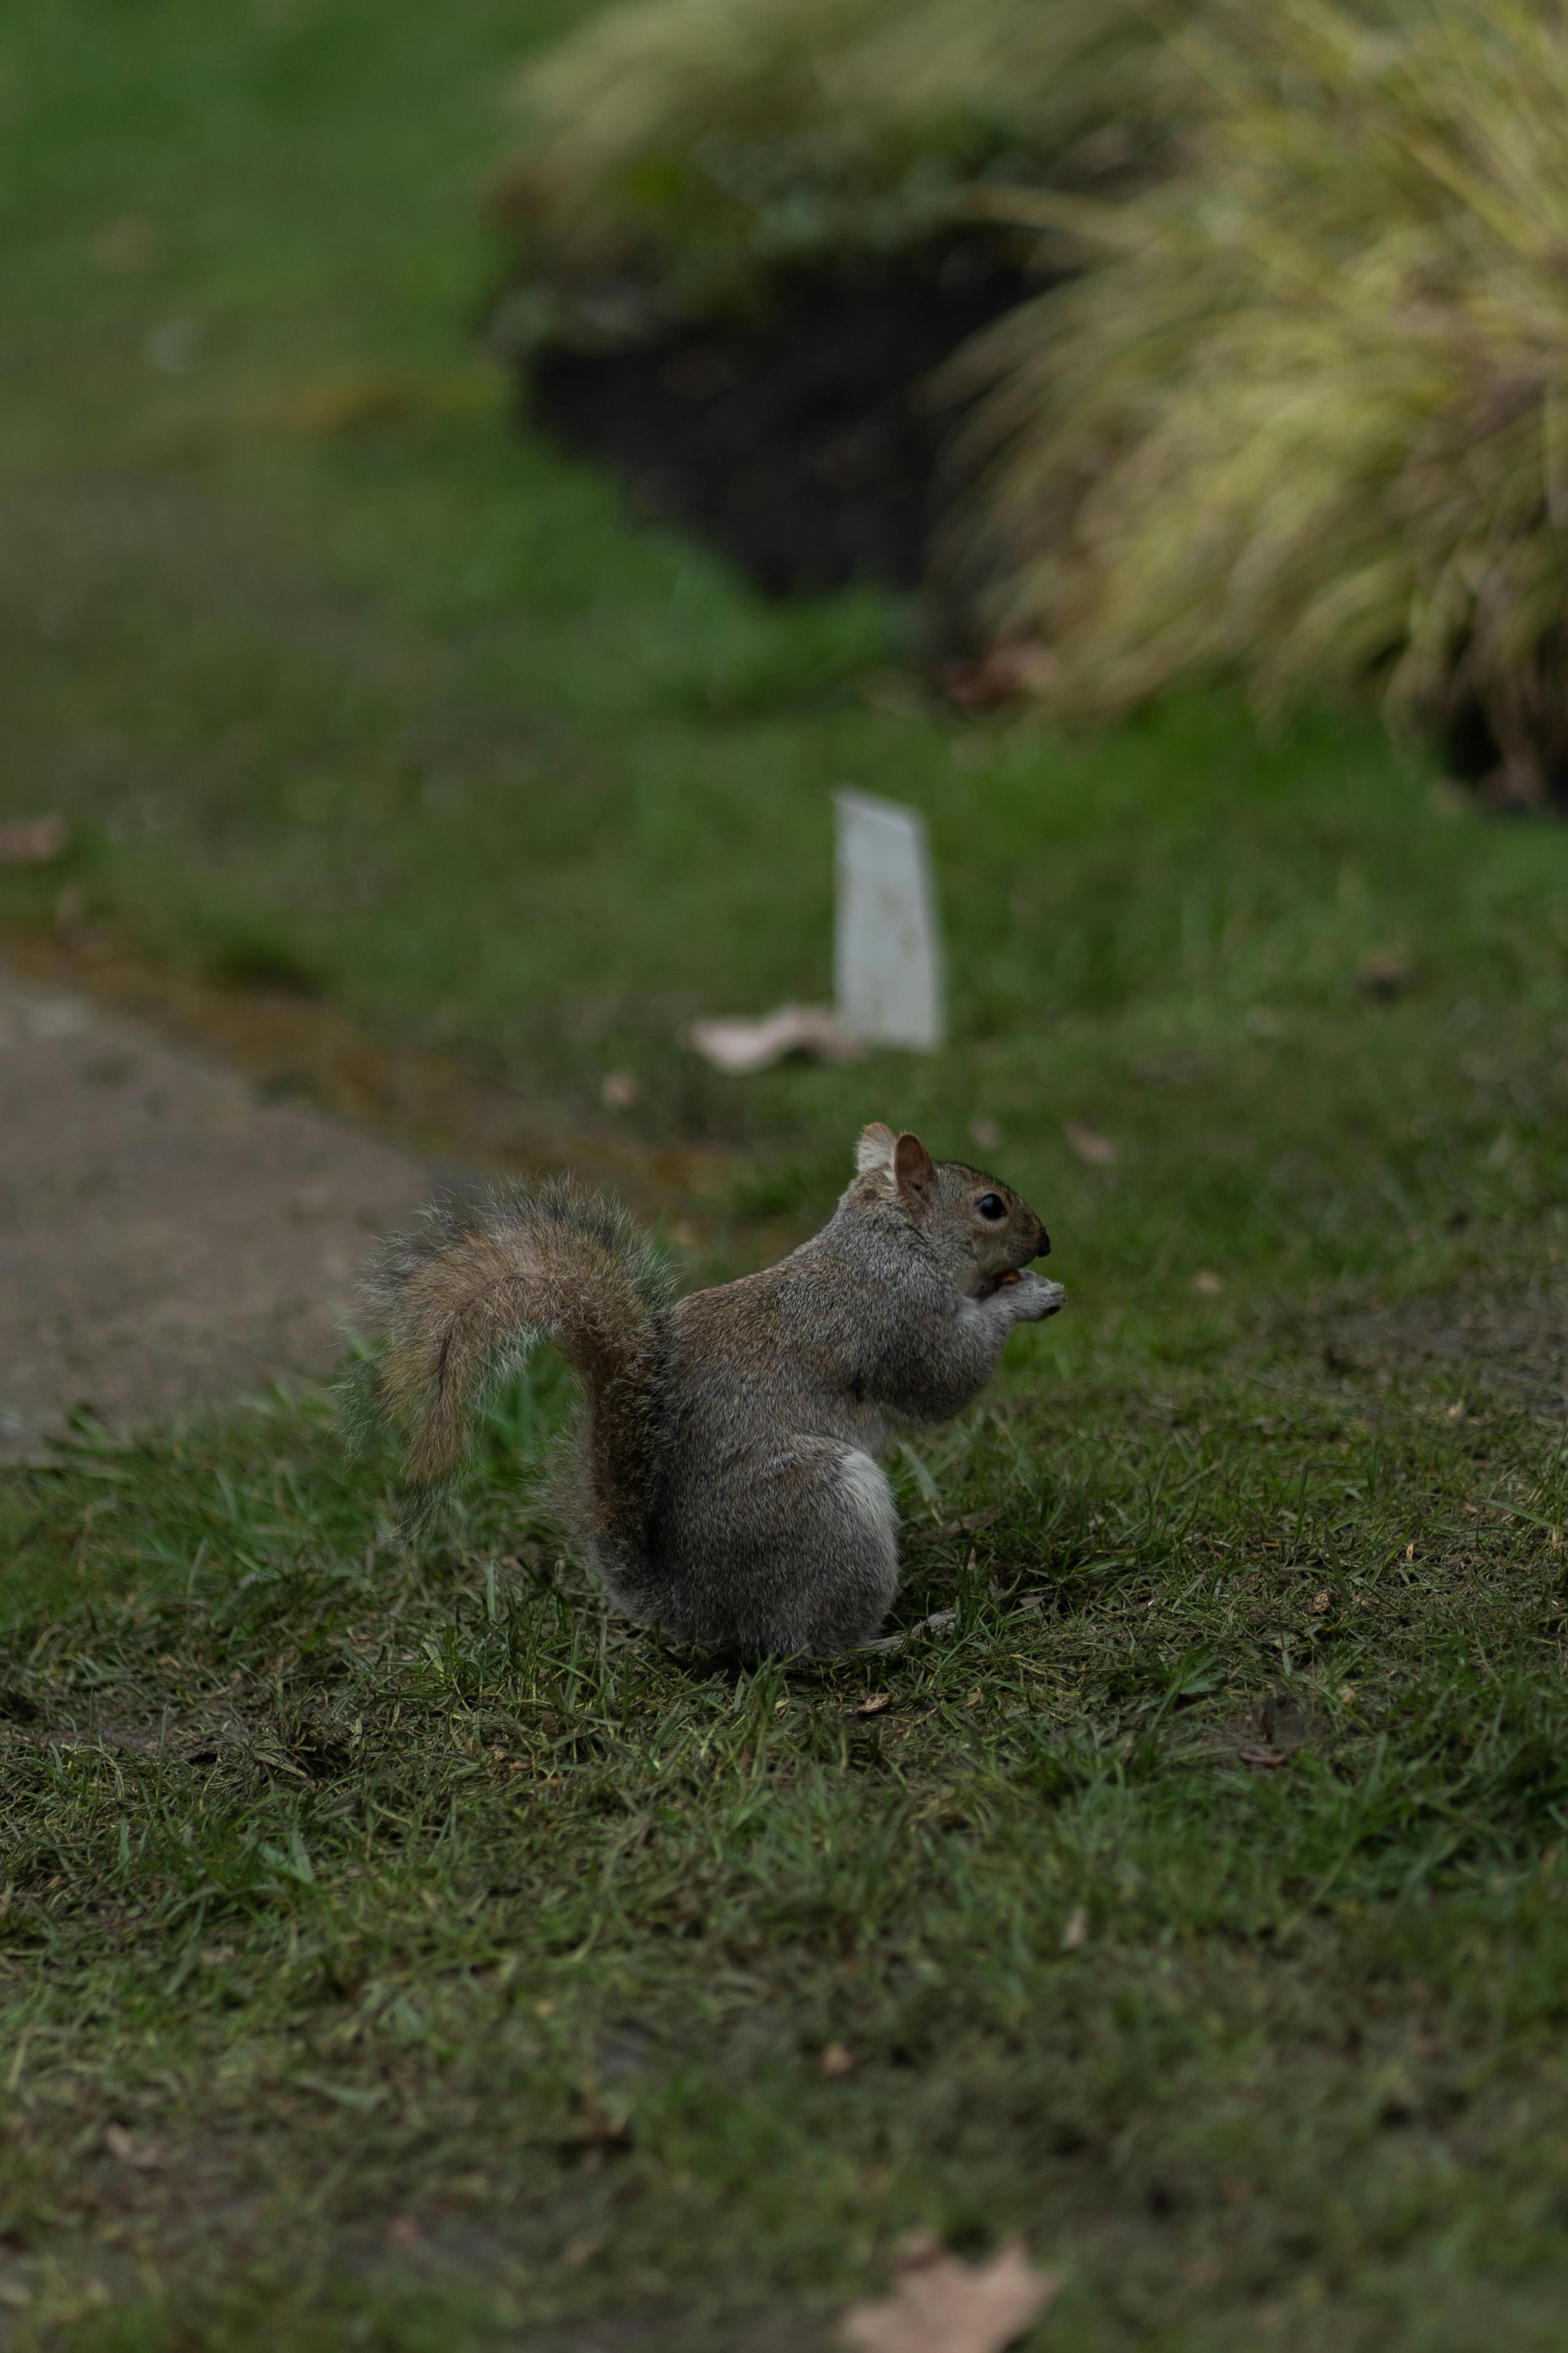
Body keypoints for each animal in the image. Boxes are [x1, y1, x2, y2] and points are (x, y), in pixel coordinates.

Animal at [360, 1122, 1063, 1658]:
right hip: (826, 1510)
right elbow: (947, 1380)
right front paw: (1027, 1296)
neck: (890, 1239)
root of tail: (692, 1606)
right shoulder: (900, 1318)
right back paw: (902, 1637)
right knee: (806, 1648)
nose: (1047, 1241)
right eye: (990, 1205)